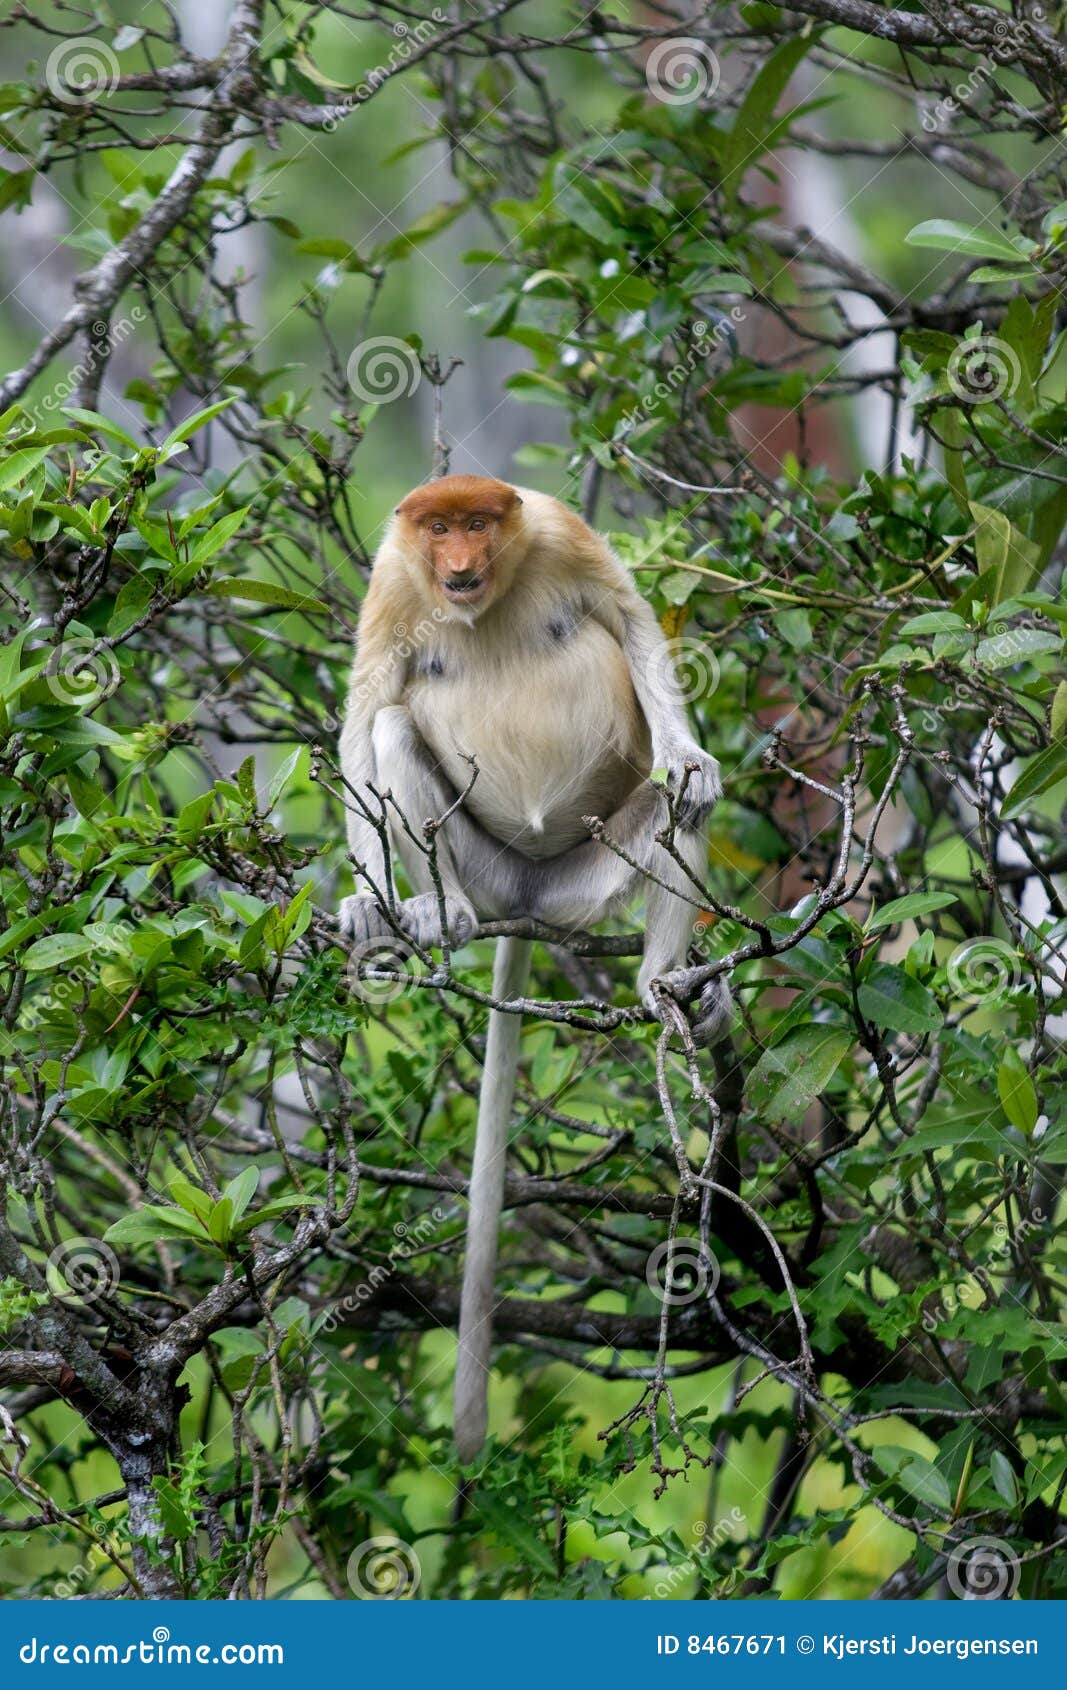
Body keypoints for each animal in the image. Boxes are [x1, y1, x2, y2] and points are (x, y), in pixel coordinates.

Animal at [338, 475, 729, 1462]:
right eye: (437, 528)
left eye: (480, 523)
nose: (459, 563)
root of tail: (527, 890)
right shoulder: (391, 584)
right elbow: (365, 715)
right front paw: (363, 900)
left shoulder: (558, 532)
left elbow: (630, 619)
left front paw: (690, 755)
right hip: (482, 865)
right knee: (394, 725)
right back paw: (439, 912)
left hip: (589, 871)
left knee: (676, 803)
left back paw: (663, 987)